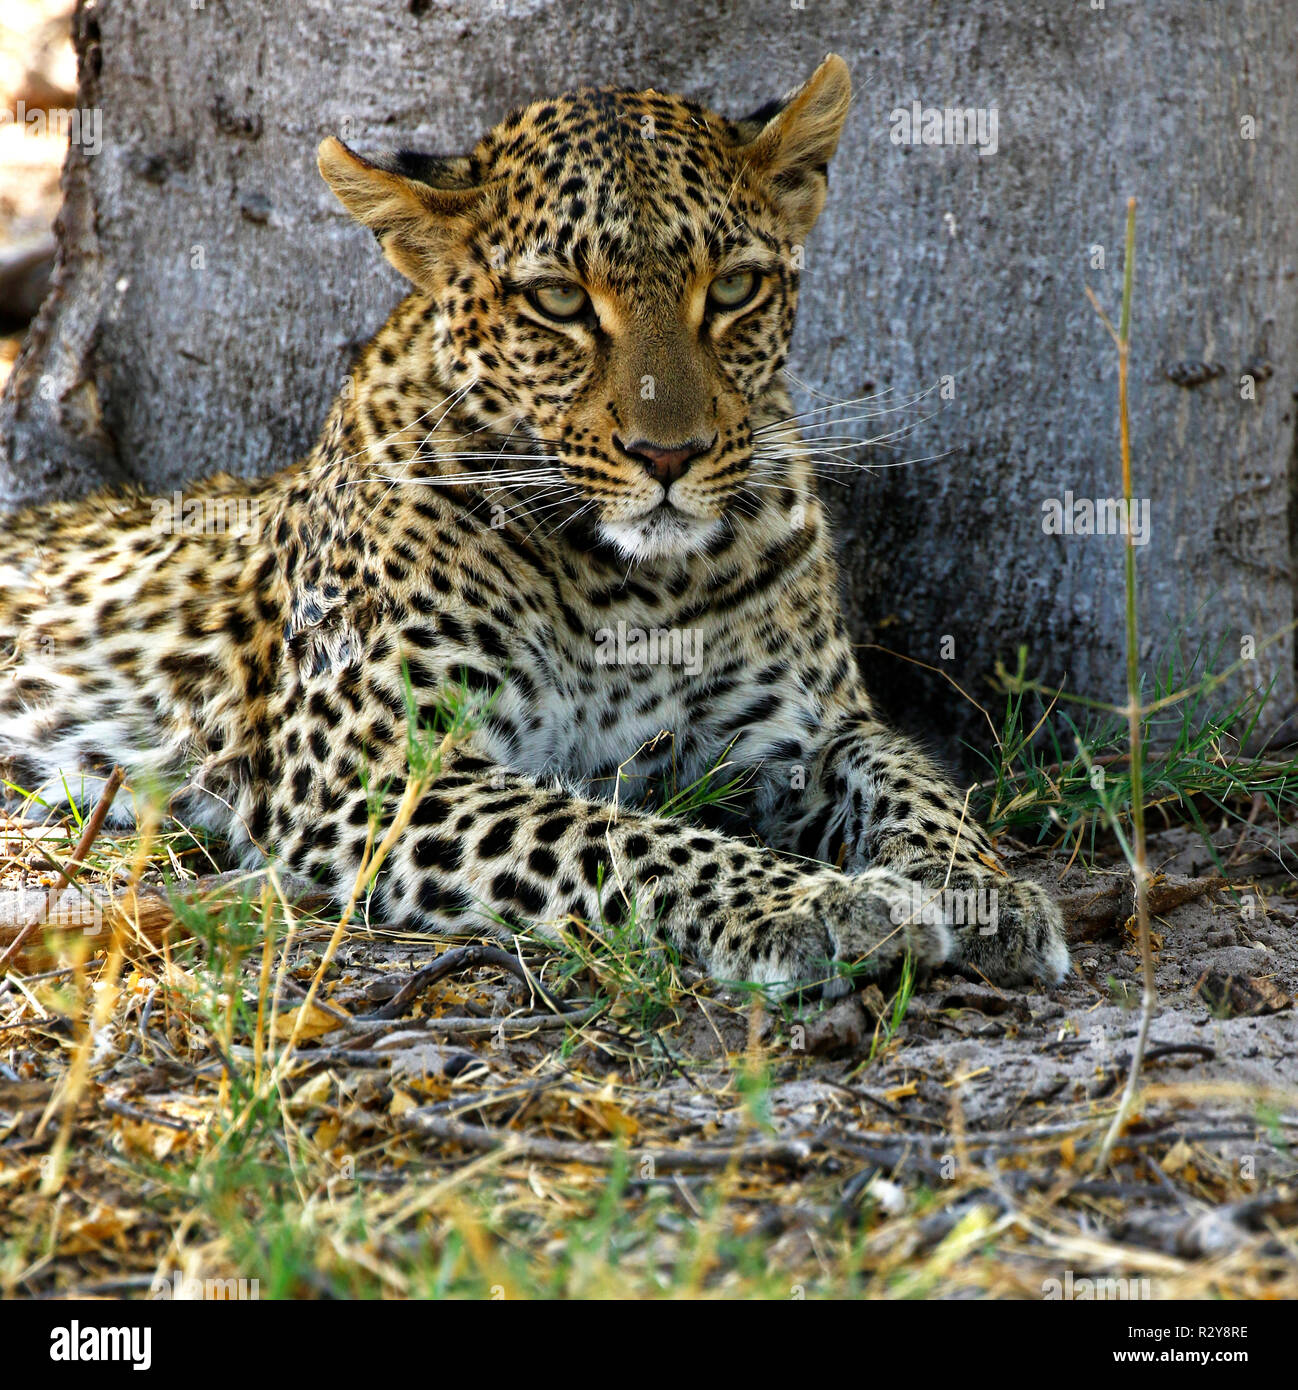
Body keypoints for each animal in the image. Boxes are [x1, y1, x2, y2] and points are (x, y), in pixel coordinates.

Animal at [0, 54, 1069, 996]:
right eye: (559, 300)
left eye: (732, 288)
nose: (670, 456)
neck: (637, 586)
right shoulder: (379, 773)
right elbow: (616, 836)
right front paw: (814, 905)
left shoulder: (798, 730)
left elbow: (907, 774)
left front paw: (983, 891)